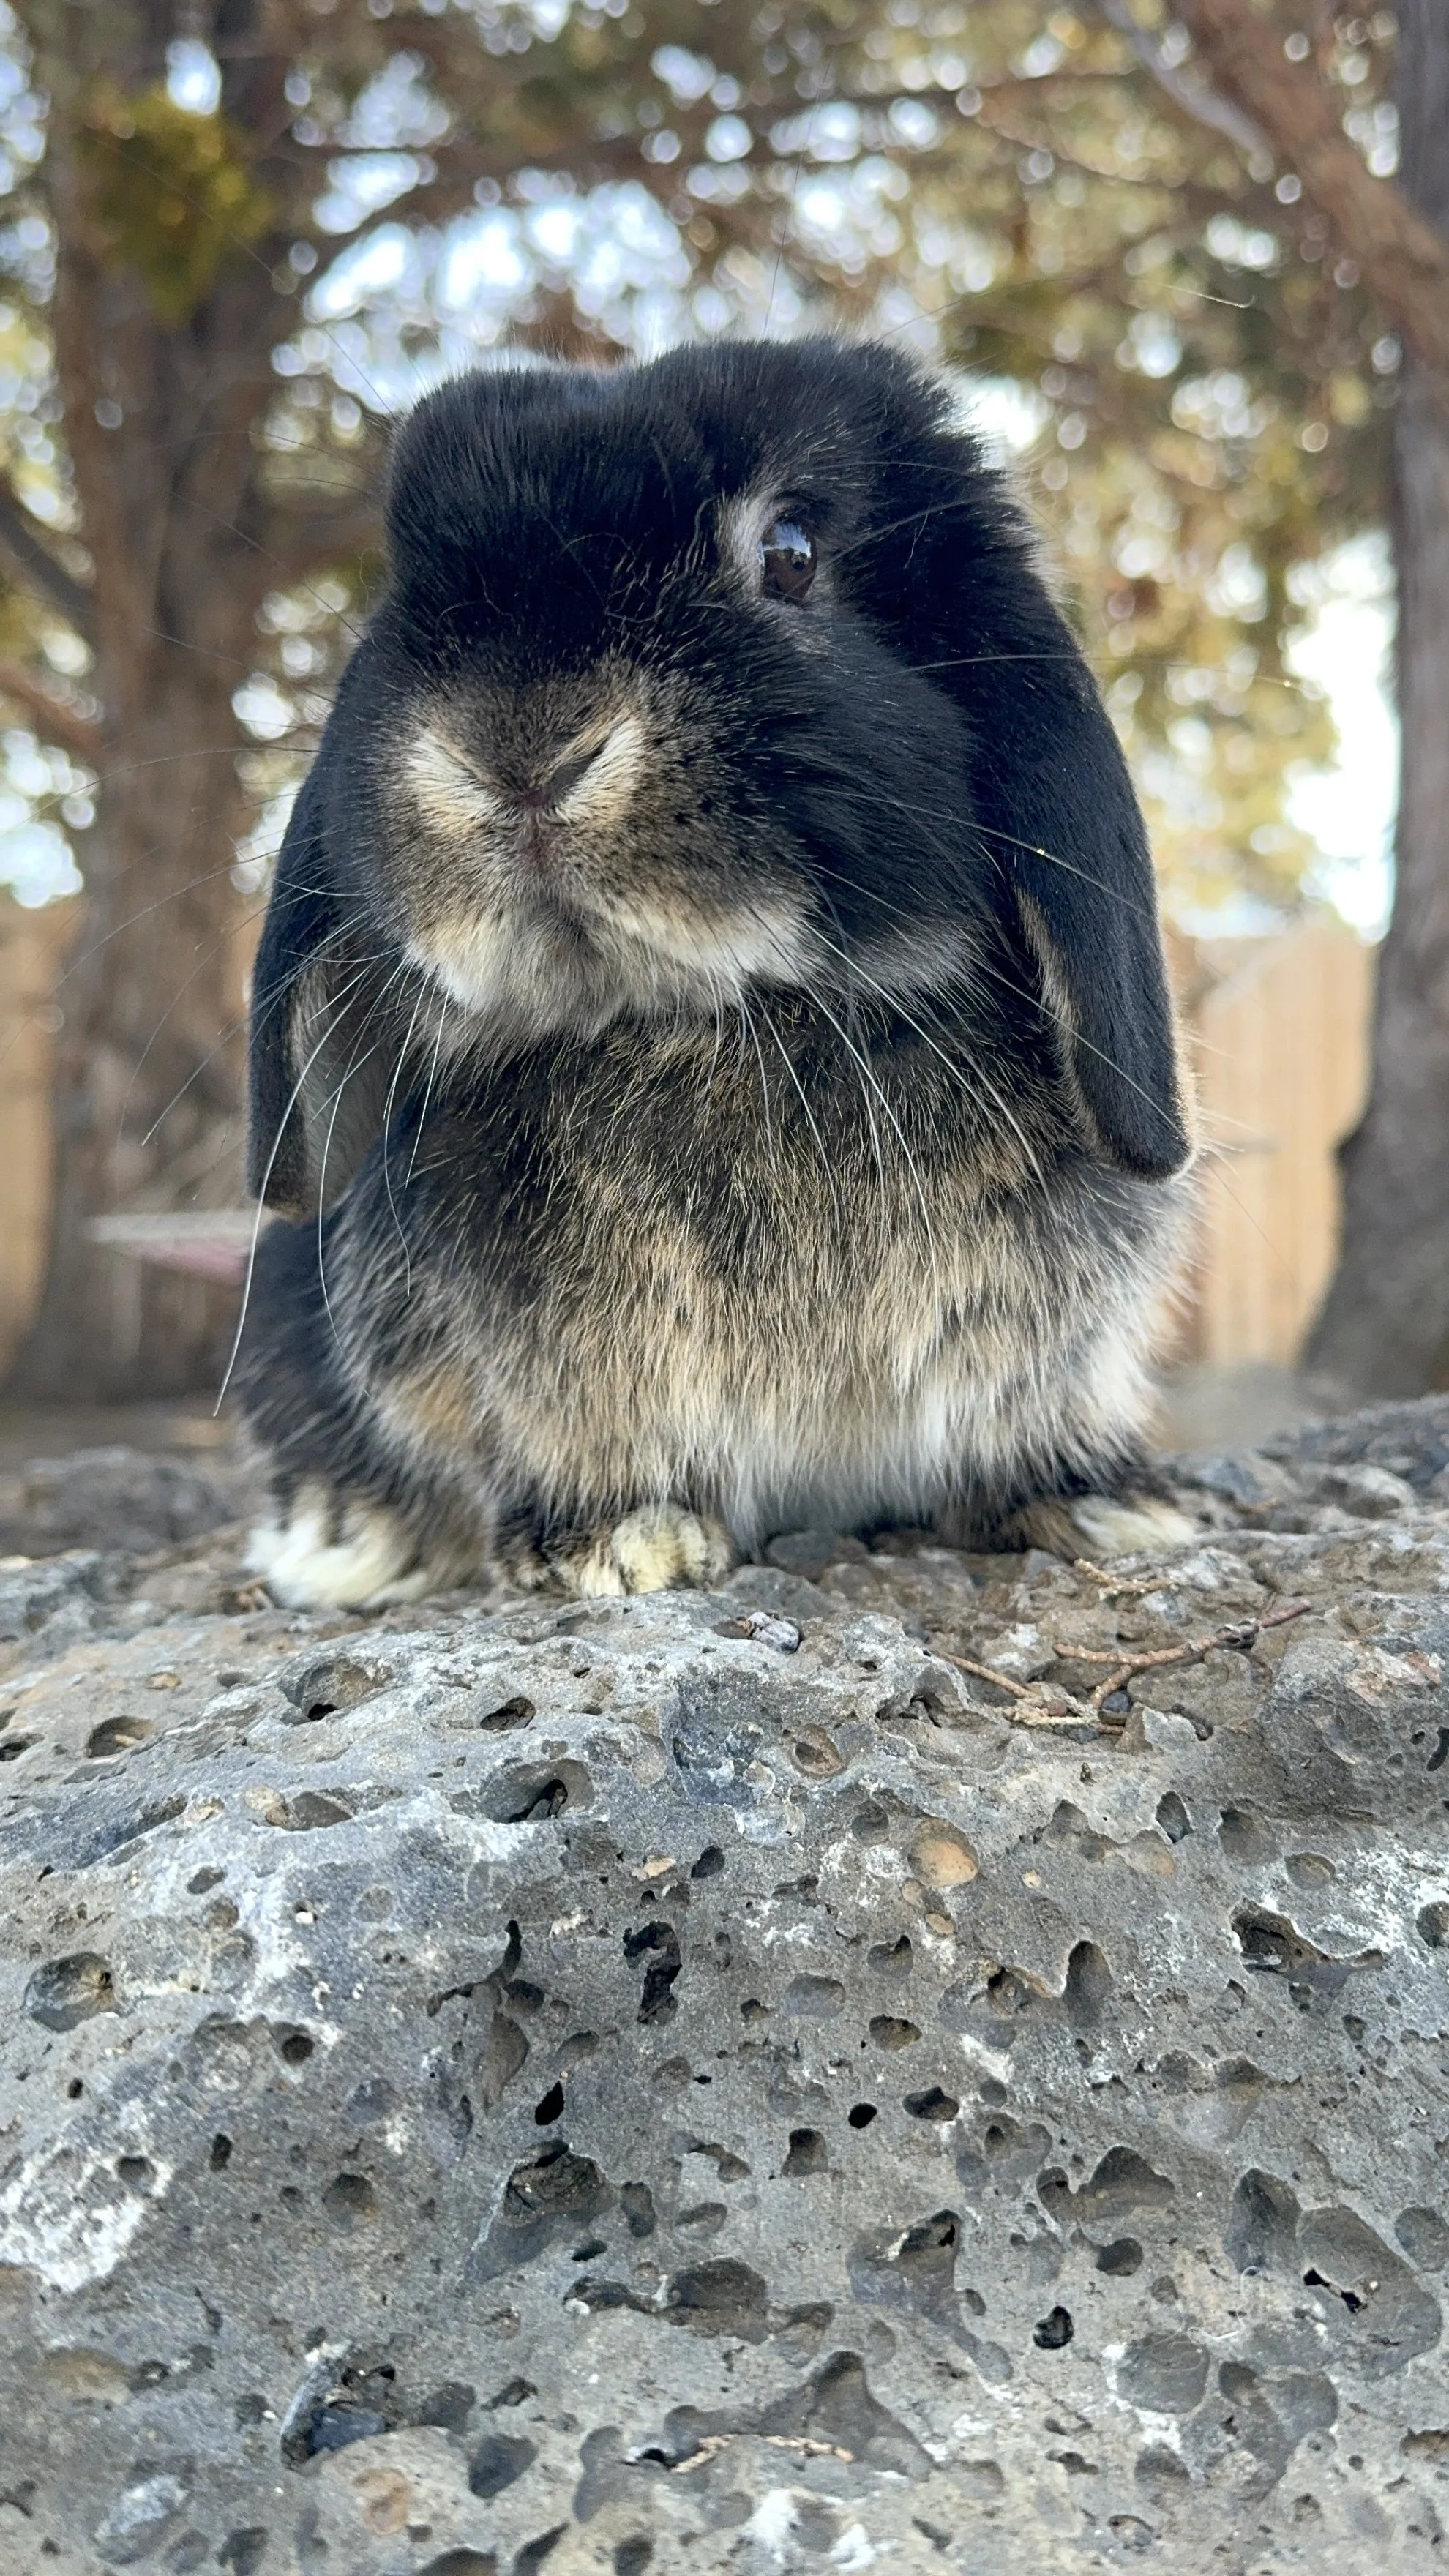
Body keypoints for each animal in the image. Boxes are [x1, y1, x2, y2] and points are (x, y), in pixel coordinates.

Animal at [236, 336, 1196, 1610]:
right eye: (404, 584)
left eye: (790, 551)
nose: (520, 753)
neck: (707, 1022)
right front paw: (623, 1542)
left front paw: (1107, 1506)